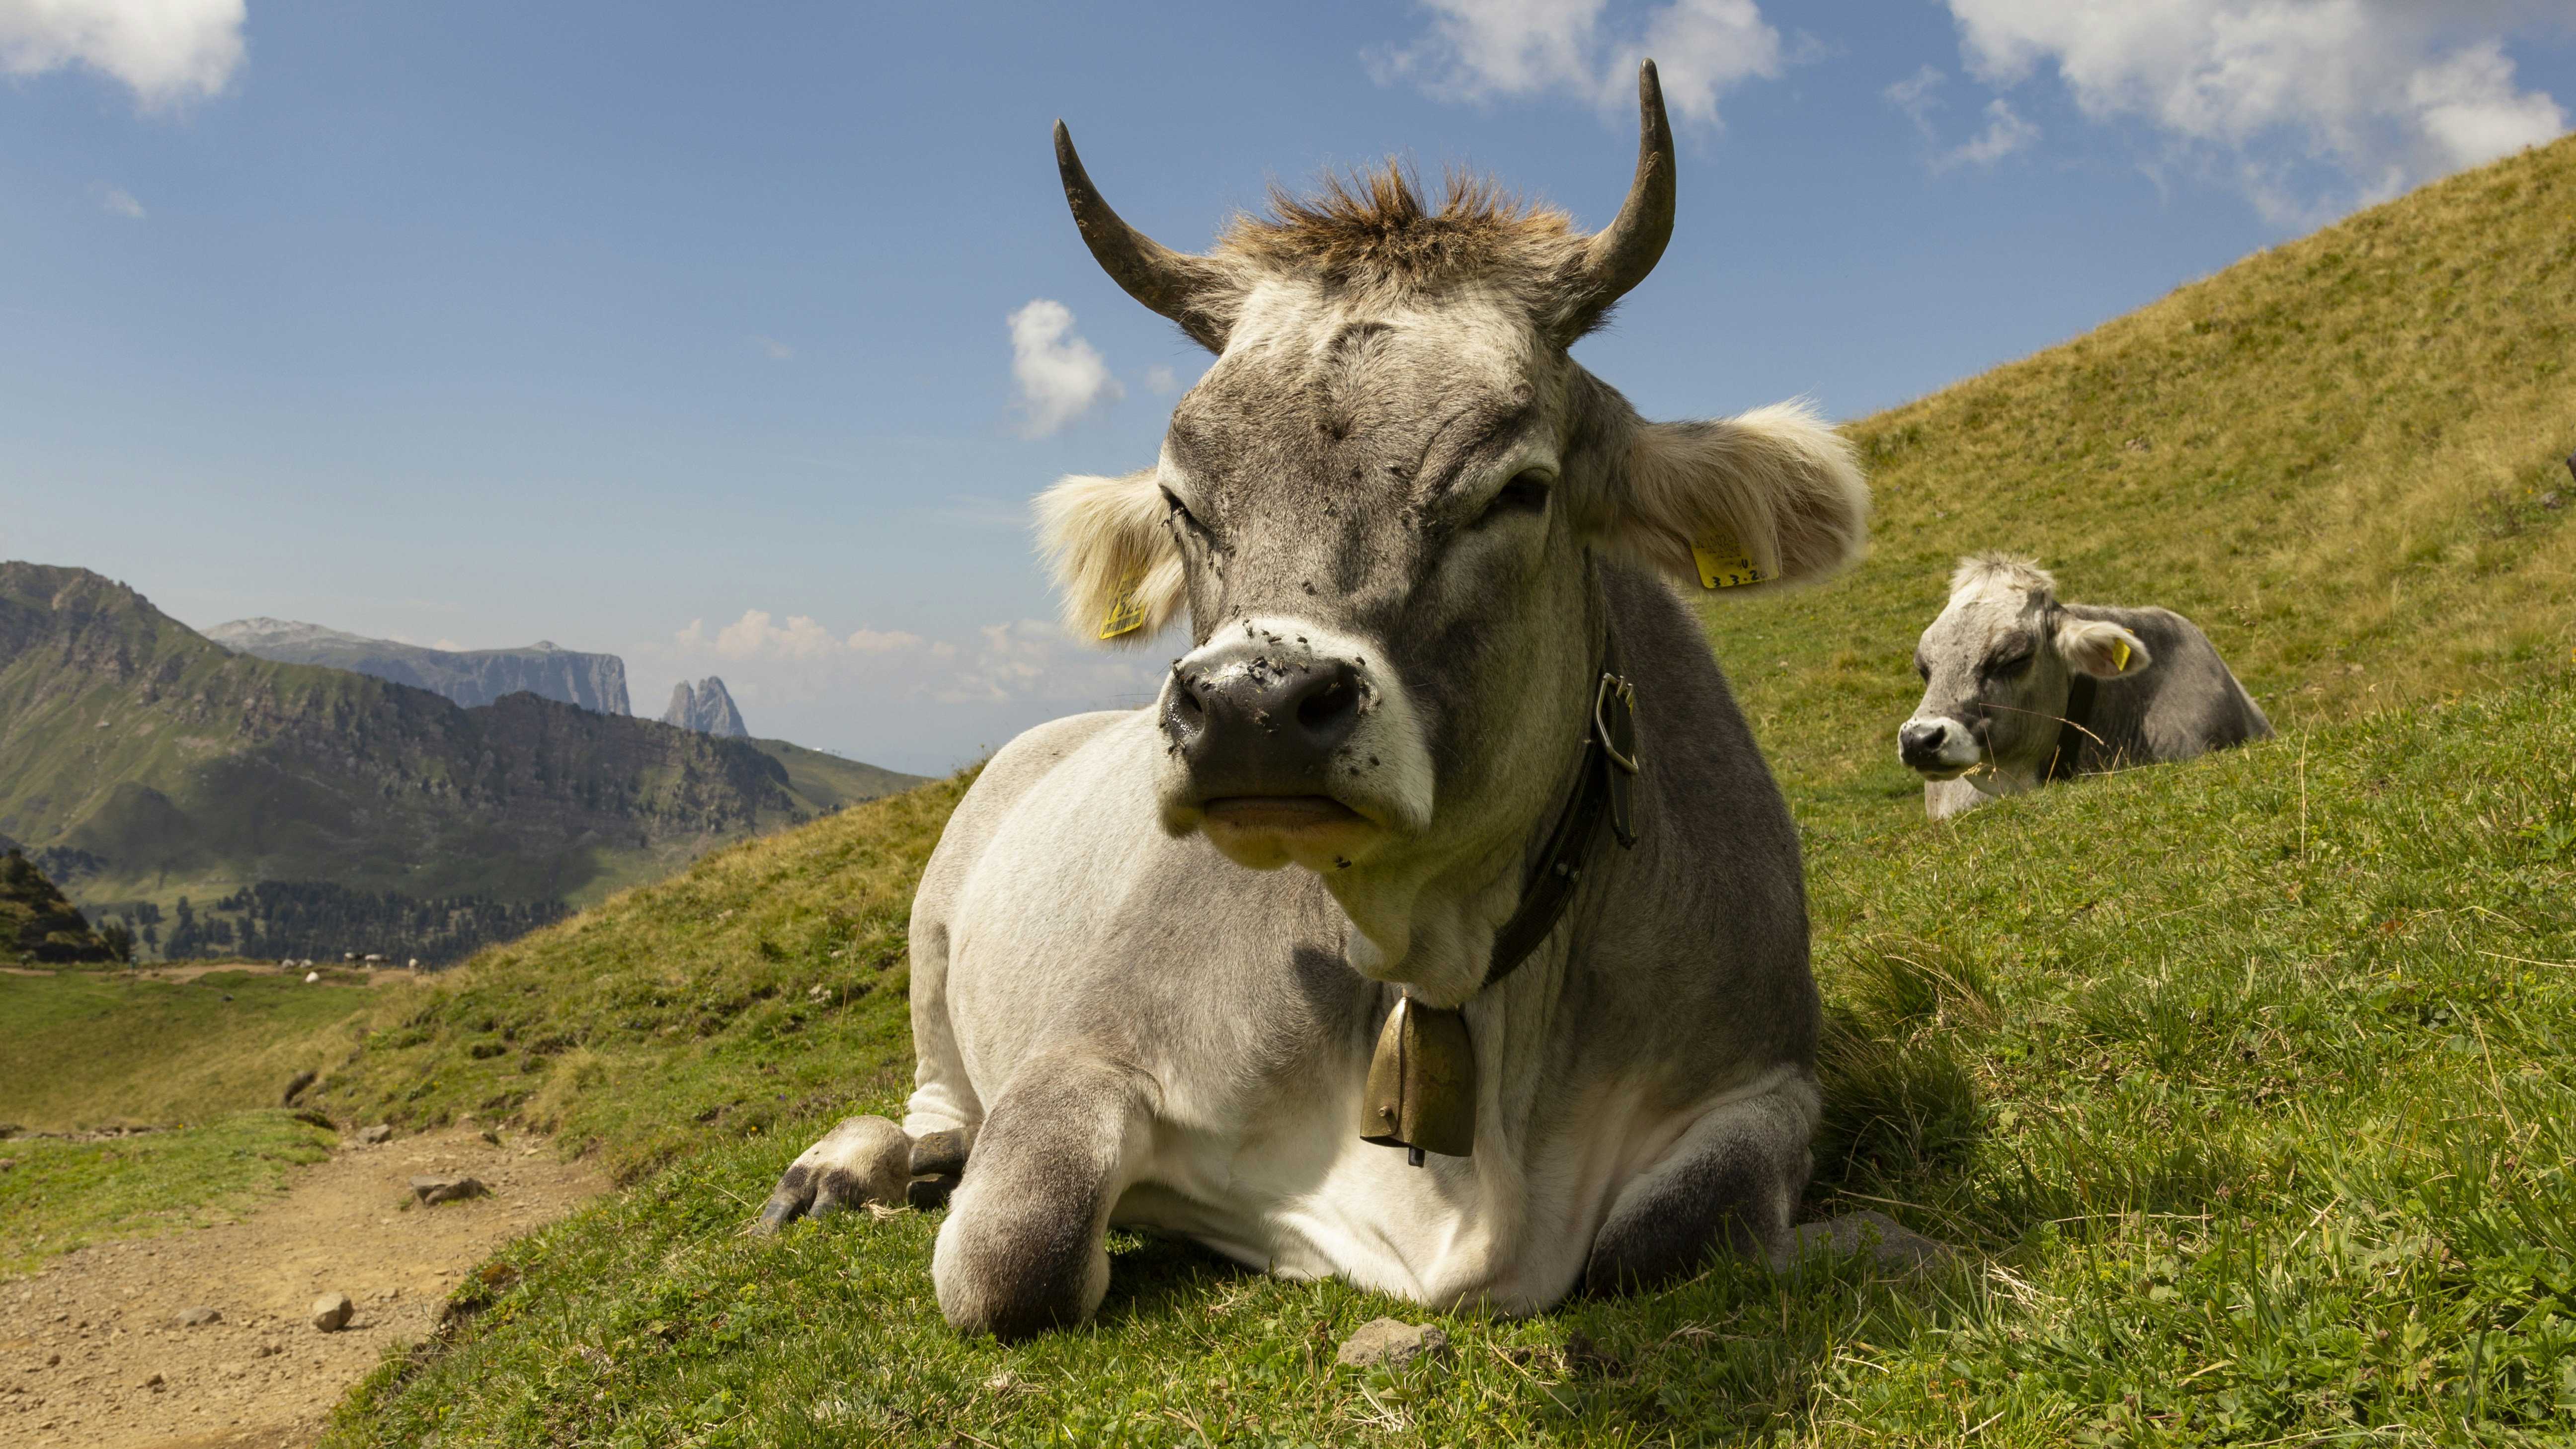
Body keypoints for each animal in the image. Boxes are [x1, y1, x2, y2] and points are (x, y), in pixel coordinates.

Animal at [755, 63, 1873, 1339]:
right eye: (1179, 499)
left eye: (1520, 487)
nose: (1253, 706)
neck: (1441, 960)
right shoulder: (1087, 1047)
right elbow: (1011, 1254)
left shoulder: (1769, 1075)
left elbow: (1669, 1231)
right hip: (934, 931)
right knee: (937, 1102)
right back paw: (856, 1162)